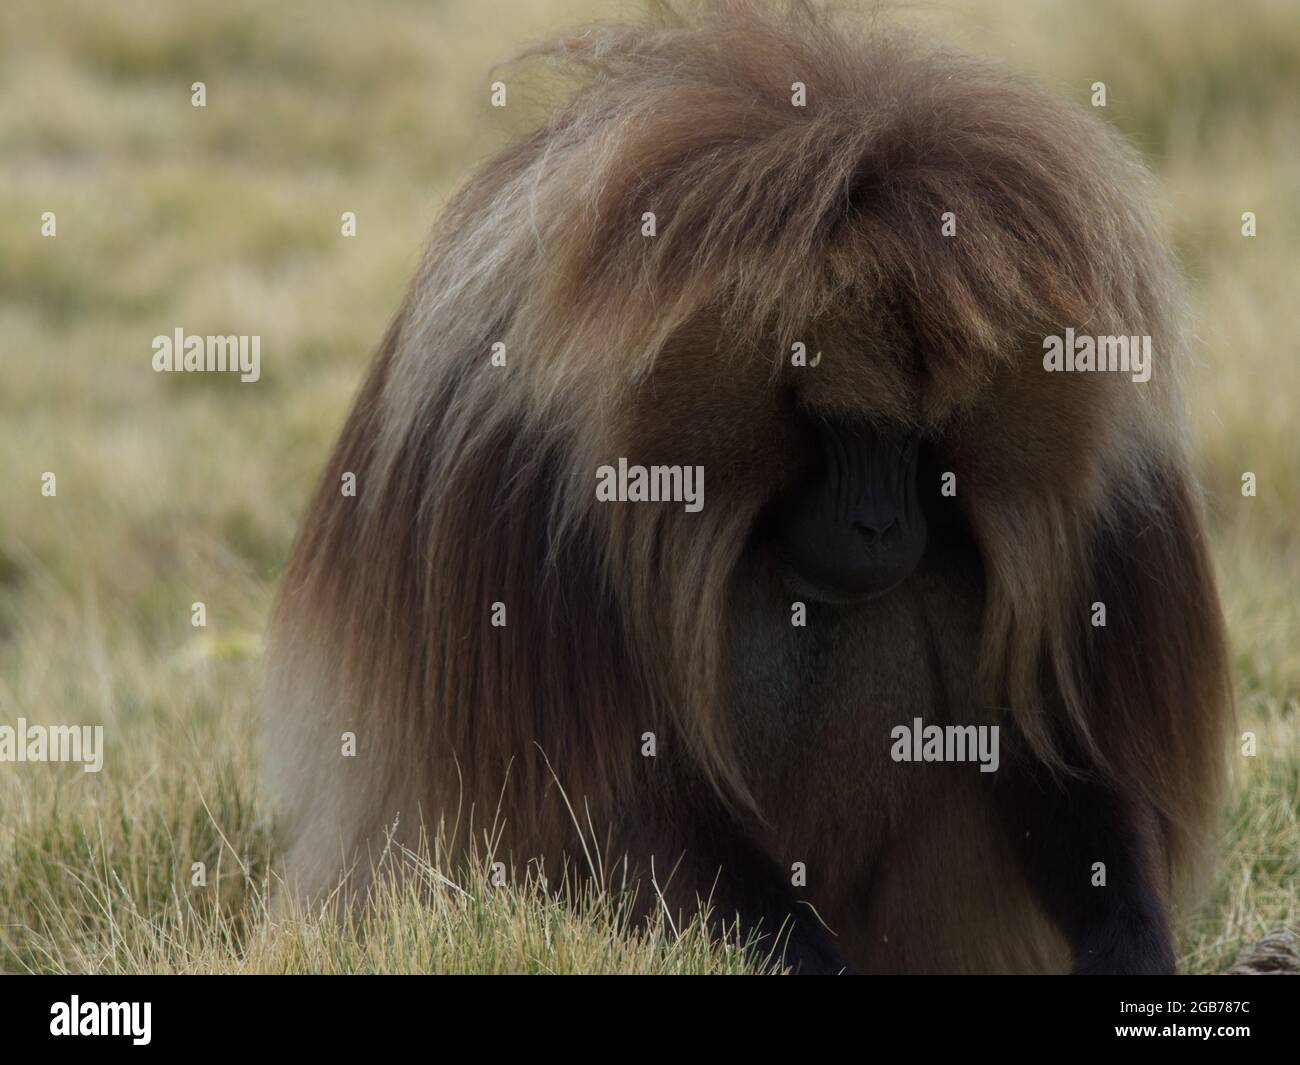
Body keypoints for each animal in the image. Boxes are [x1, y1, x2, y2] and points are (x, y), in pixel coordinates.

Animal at [263, 2, 1231, 974]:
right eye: (837, 426)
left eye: (922, 439)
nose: (878, 527)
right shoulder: (531, 498)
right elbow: (614, 804)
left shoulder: (1101, 508)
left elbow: (1056, 764)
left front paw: (1129, 941)